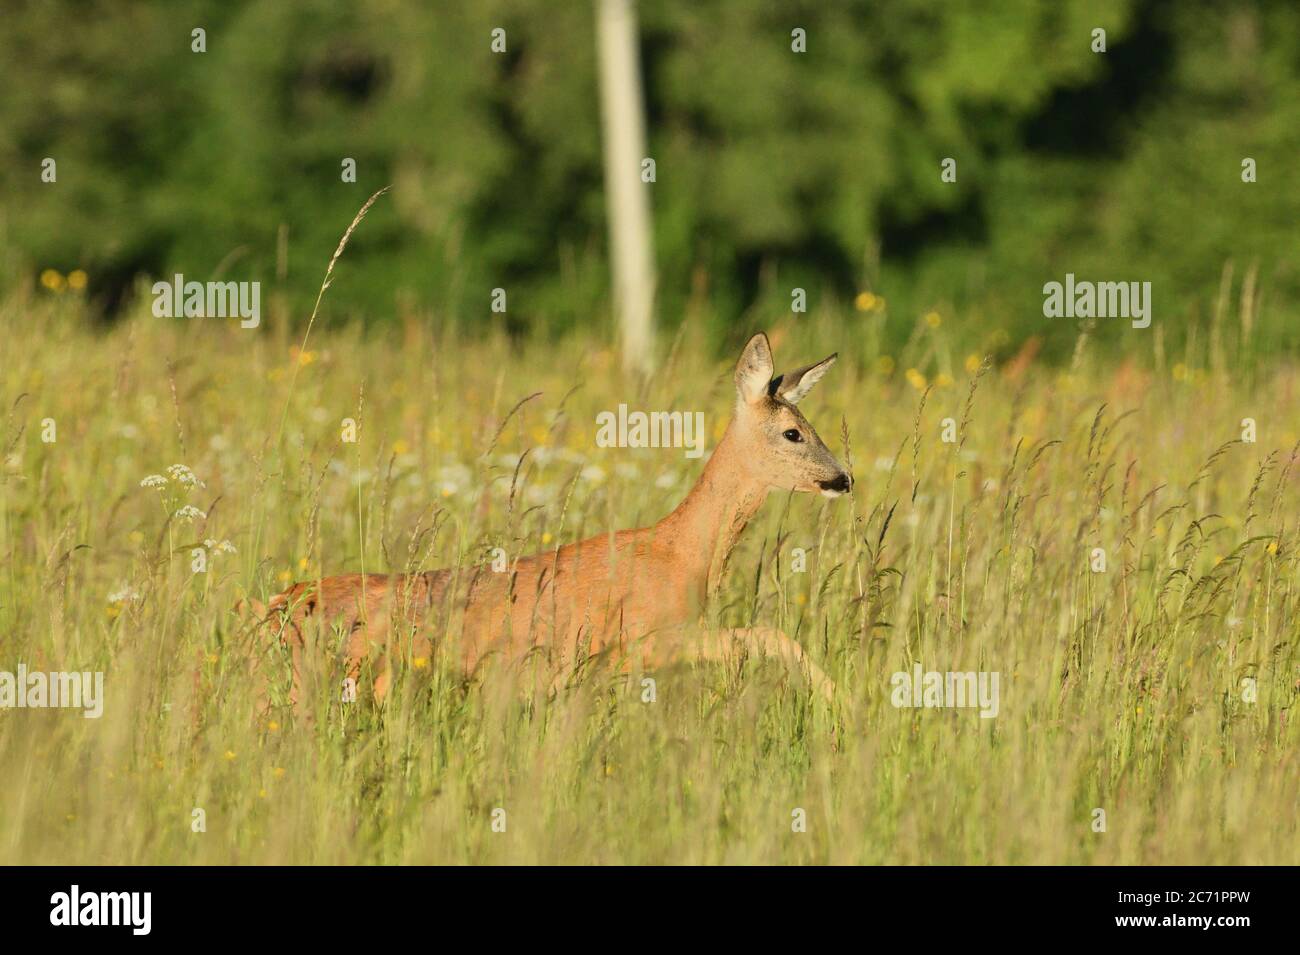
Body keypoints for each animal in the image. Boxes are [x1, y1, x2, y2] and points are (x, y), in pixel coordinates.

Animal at [243, 332, 852, 711]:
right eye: (793, 433)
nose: (843, 478)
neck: (684, 553)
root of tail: (278, 604)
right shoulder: (644, 640)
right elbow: (766, 636)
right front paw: (838, 701)